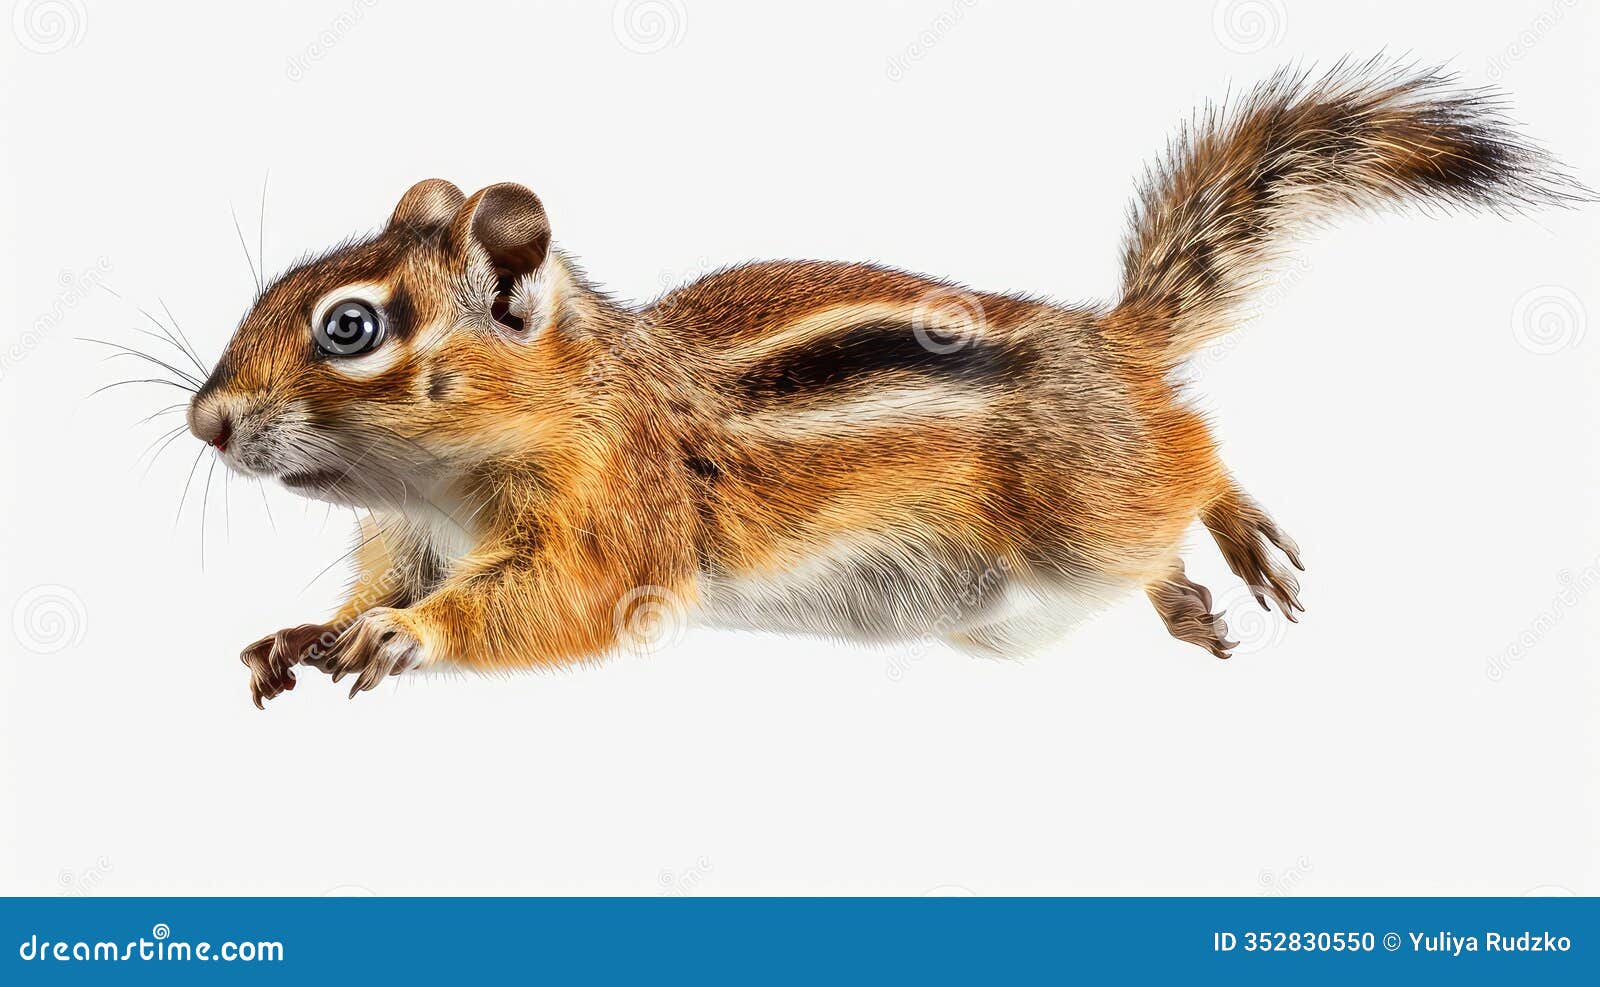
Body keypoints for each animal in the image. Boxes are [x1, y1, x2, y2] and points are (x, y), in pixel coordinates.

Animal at [181, 60, 1585, 706]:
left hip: (1082, 502)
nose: (204, 418)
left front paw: (405, 637)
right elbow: (367, 588)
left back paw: (1239, 537)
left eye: (350, 327)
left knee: (1194, 453)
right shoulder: (406, 533)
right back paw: (1184, 595)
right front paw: (299, 633)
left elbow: (556, 605)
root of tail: (1107, 343)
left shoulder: (617, 518)